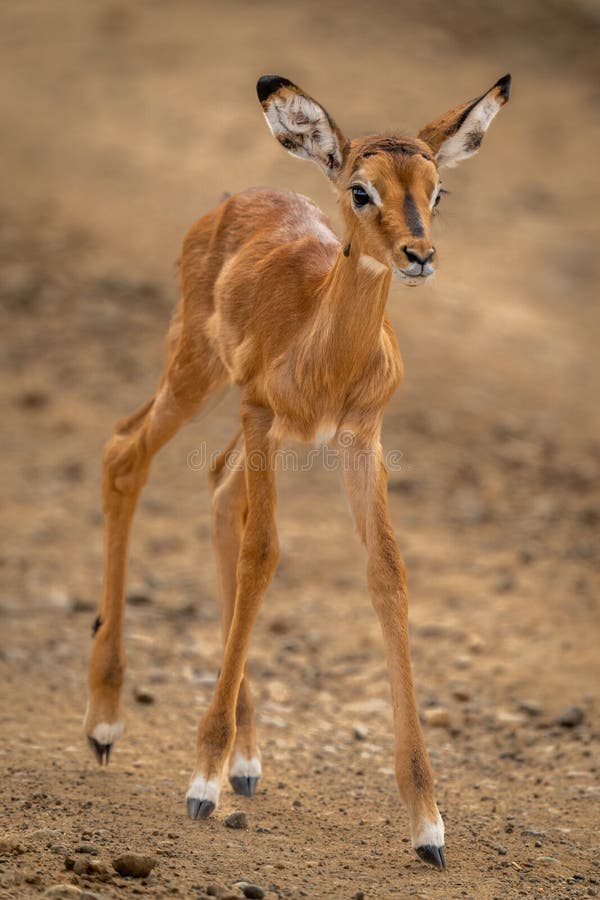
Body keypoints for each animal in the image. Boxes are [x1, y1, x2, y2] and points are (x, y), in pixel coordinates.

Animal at [85, 73, 511, 869]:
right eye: (361, 188)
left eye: (437, 189)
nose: (418, 254)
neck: (325, 352)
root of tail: (234, 199)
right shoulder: (259, 413)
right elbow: (263, 553)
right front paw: (200, 781)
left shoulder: (360, 440)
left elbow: (387, 574)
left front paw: (429, 824)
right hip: (197, 376)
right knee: (126, 454)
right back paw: (105, 725)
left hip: (249, 422)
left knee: (219, 490)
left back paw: (247, 761)